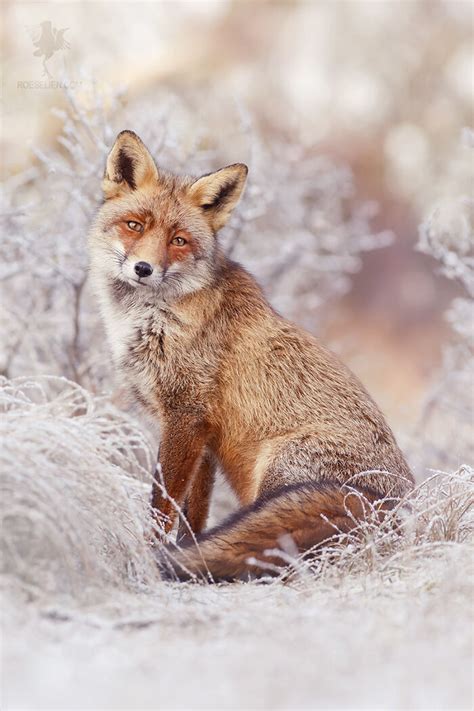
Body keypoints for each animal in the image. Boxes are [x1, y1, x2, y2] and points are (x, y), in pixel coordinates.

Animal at [88, 130, 414, 581]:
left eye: (178, 240)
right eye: (134, 225)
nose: (143, 269)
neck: (155, 320)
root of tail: (396, 513)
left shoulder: (185, 416)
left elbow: (162, 506)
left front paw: (151, 555)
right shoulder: (203, 437)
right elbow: (193, 515)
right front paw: (187, 551)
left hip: (278, 469)